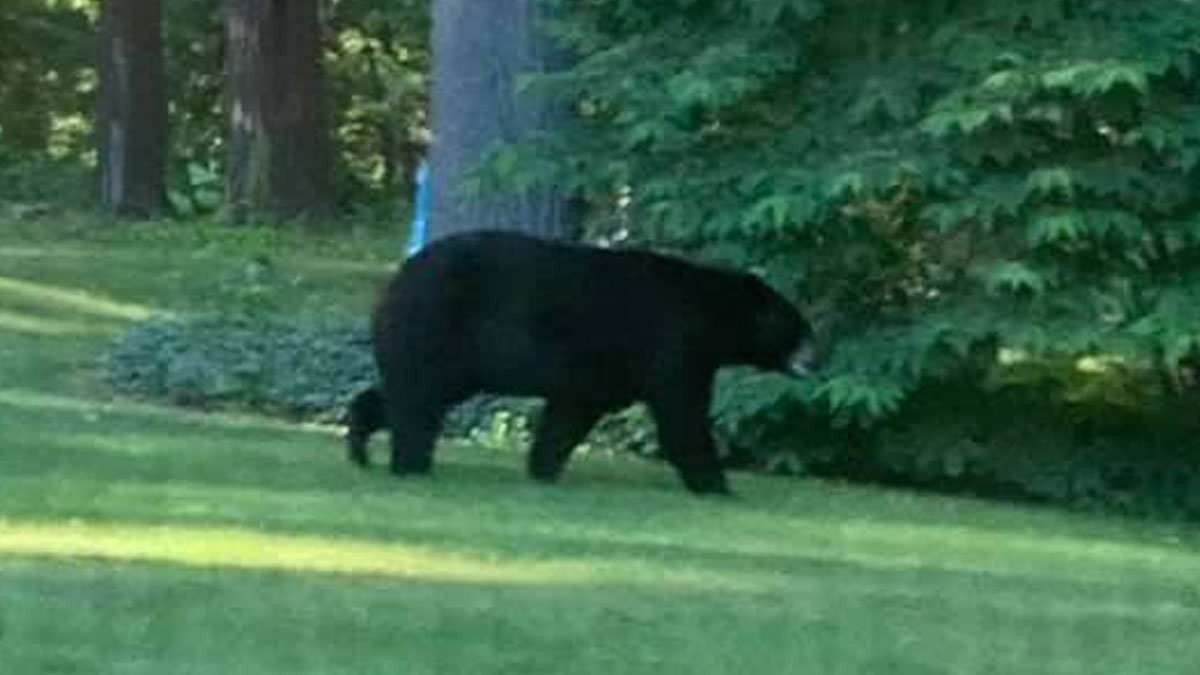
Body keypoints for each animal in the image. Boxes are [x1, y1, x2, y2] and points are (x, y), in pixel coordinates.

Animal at [347, 230, 815, 495]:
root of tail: (396, 278)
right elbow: (682, 416)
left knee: (410, 392)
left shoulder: (600, 373)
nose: (817, 356)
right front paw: (718, 486)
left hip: (450, 354)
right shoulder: (676, 345)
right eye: (800, 327)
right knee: (418, 398)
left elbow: (570, 414)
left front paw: (542, 470)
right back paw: (410, 465)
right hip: (437, 326)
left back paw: (361, 445)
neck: (712, 313)